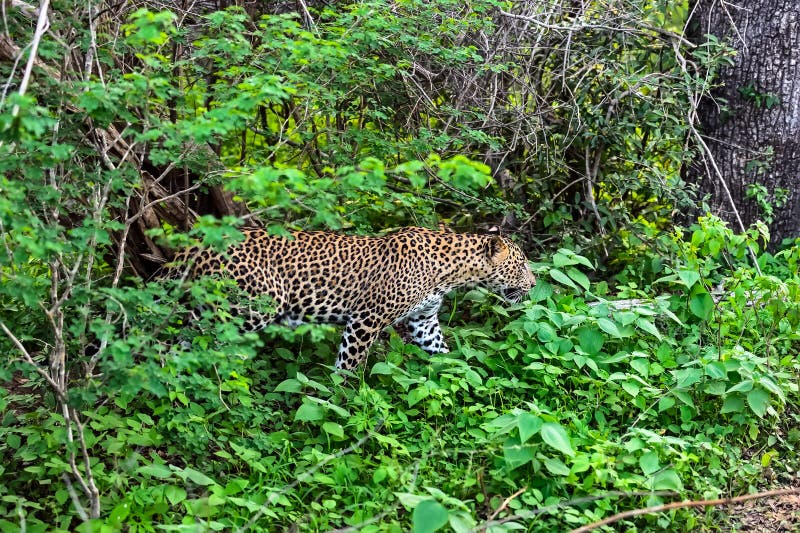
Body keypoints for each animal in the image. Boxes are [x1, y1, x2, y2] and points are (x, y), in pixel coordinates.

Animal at [170, 226, 535, 370]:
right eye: (521, 265)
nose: (534, 284)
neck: (452, 272)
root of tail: (198, 241)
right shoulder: (367, 319)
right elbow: (350, 363)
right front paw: (341, 401)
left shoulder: (424, 321)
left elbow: (443, 353)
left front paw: (461, 378)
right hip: (247, 307)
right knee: (197, 340)